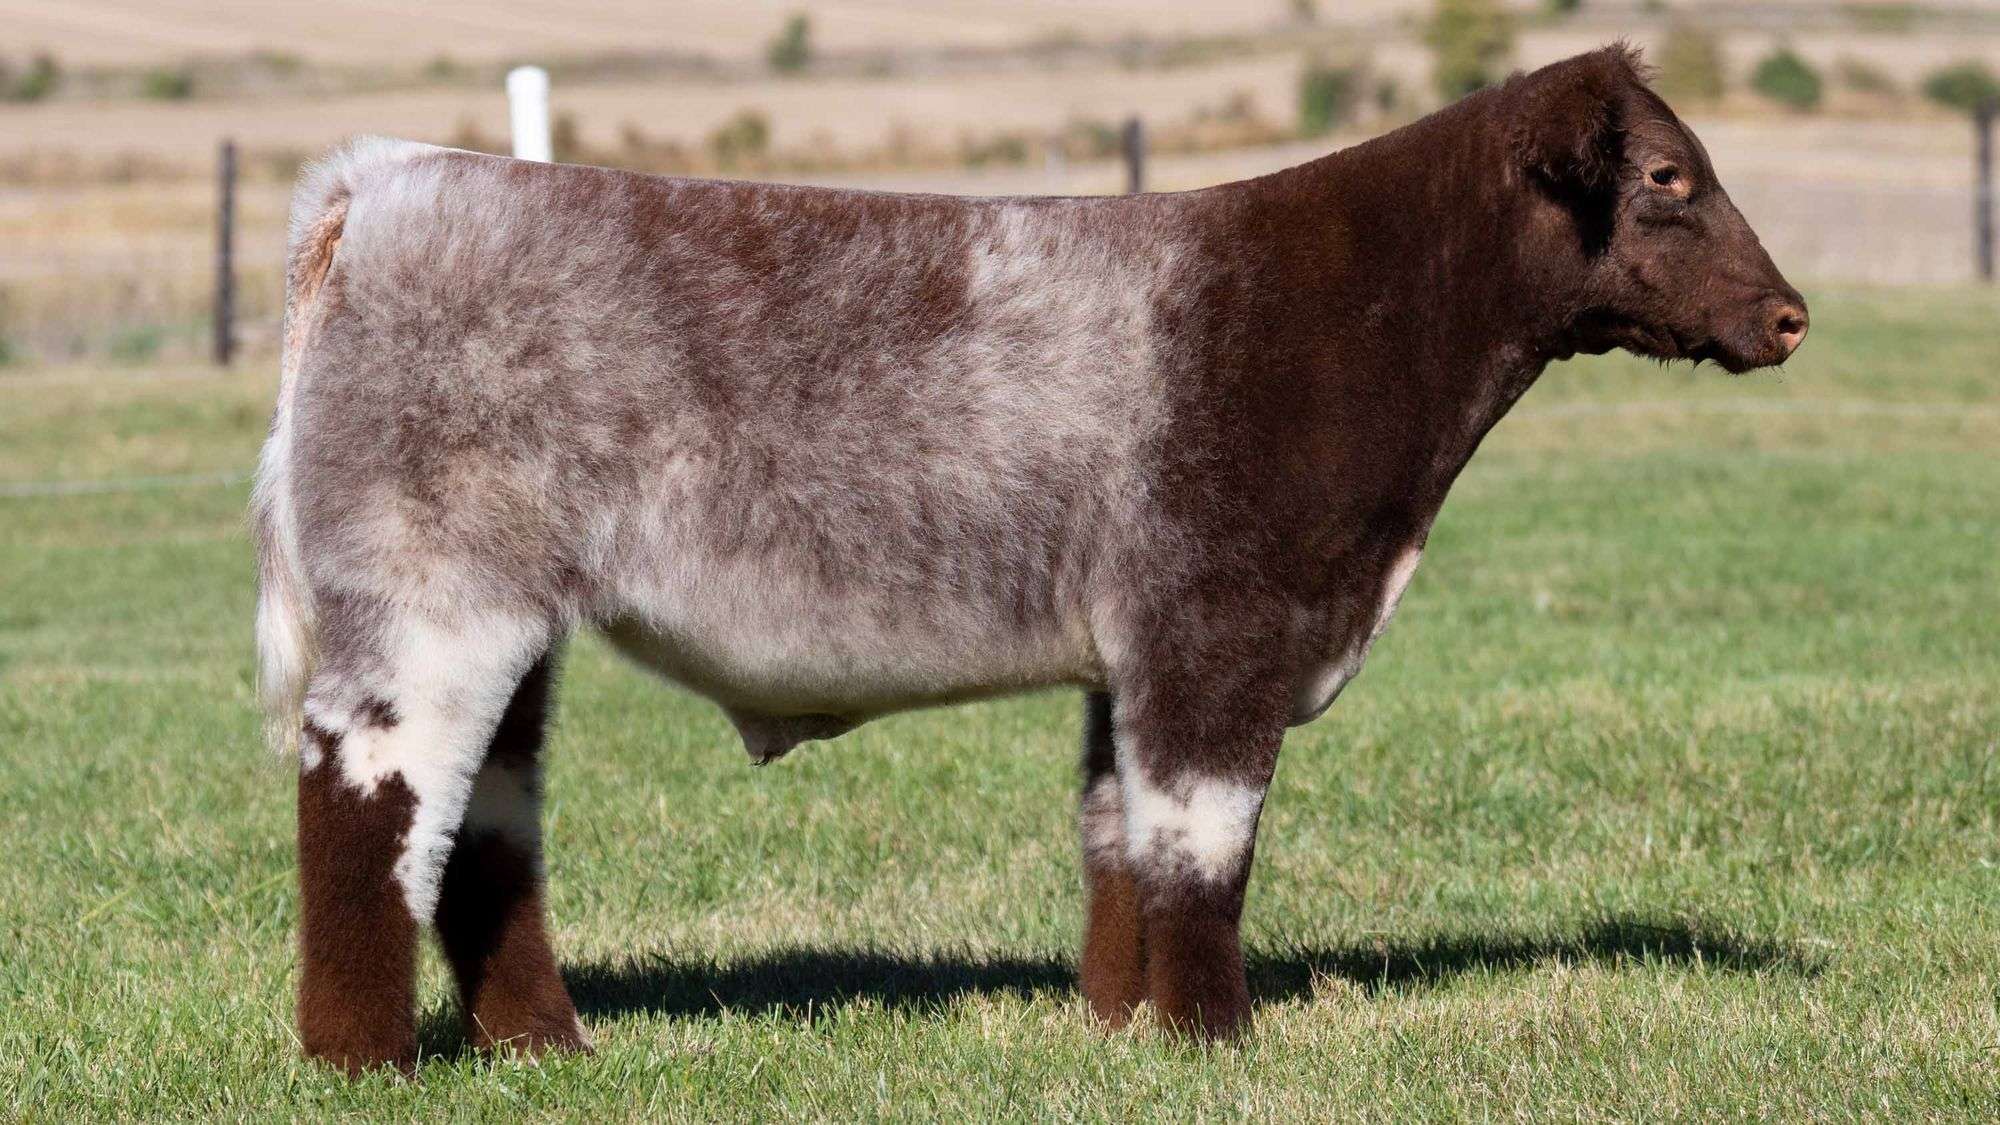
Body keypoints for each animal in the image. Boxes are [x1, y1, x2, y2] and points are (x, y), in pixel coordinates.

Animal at [254, 45, 1806, 1074]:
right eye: (1665, 176)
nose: (1790, 315)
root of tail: (386, 181)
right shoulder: (1215, 629)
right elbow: (1203, 840)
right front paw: (1216, 1035)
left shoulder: (1134, 652)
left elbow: (1118, 830)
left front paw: (1123, 1027)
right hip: (429, 600)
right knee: (366, 800)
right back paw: (362, 1059)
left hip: (511, 624)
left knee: (486, 824)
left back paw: (545, 1048)